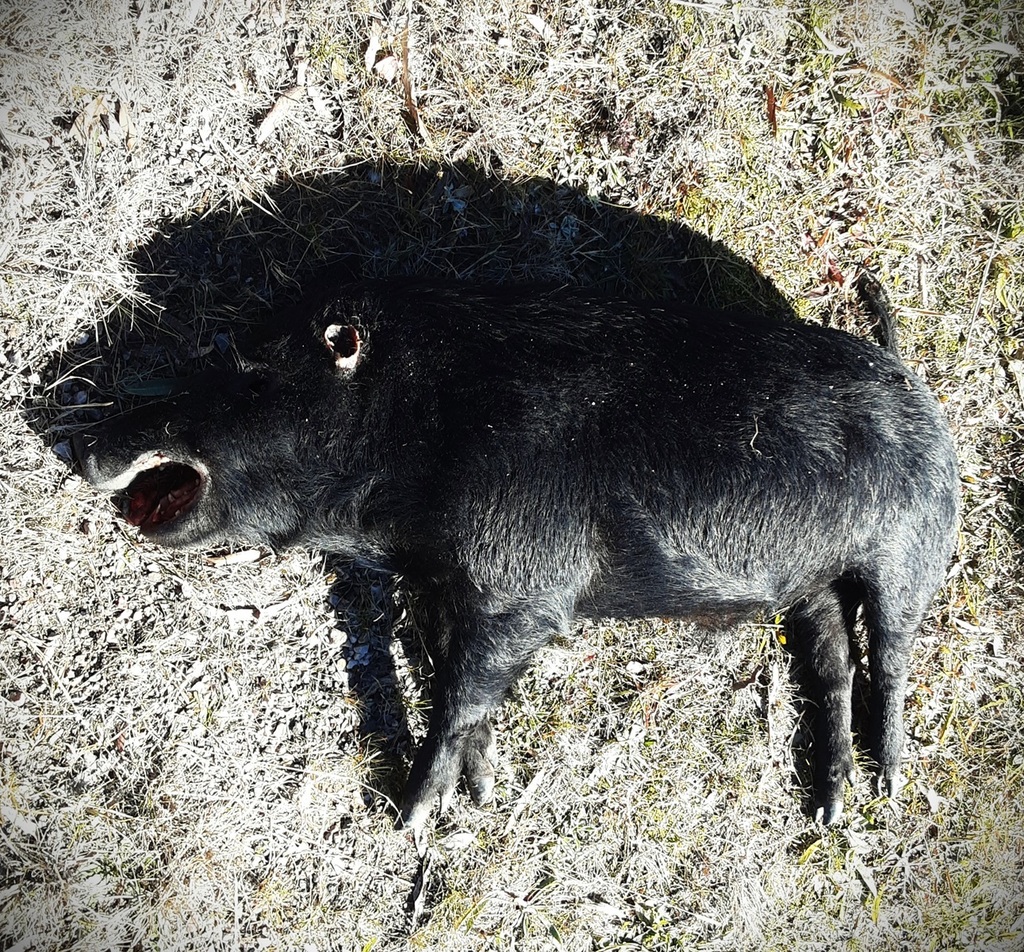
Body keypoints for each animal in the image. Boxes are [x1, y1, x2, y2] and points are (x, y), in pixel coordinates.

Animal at [73, 276, 959, 830]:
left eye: (248, 370)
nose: (83, 445)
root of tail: (915, 383)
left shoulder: (527, 582)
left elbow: (460, 690)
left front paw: (409, 818)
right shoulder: (446, 585)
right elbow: (446, 670)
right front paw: (480, 789)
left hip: (909, 548)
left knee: (891, 655)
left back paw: (888, 781)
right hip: (810, 588)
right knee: (835, 663)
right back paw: (831, 806)